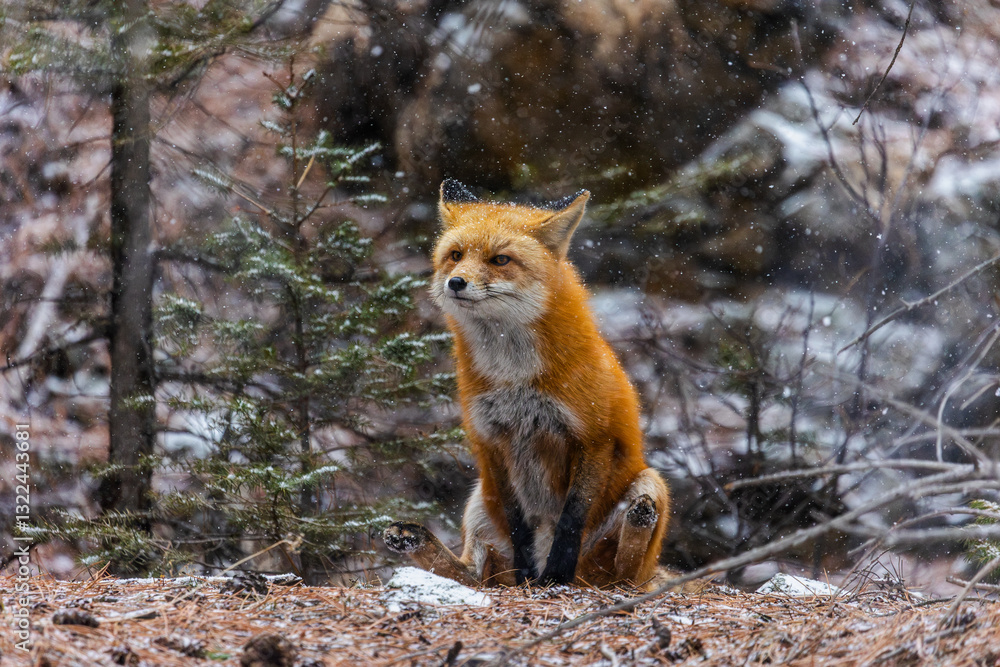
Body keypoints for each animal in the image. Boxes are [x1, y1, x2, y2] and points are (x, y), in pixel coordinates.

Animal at [383, 179, 671, 589]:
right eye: (455, 255)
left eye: (500, 260)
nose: (456, 282)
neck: (513, 375)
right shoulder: (493, 440)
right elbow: (519, 527)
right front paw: (527, 577)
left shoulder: (594, 437)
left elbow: (570, 522)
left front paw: (555, 578)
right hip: (479, 502)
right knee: (474, 576)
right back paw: (413, 538)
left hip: (649, 486)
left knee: (624, 570)